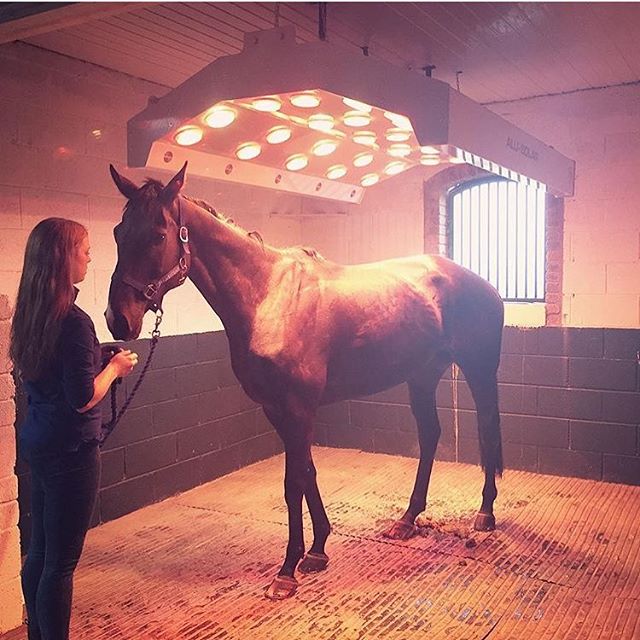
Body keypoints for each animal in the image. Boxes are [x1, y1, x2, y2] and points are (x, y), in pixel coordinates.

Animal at [106, 162, 504, 600]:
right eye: (118, 232)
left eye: (158, 235)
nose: (117, 319)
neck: (268, 298)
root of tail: (483, 284)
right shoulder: (278, 409)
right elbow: (307, 471)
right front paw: (317, 550)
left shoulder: (297, 408)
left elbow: (292, 480)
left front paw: (287, 570)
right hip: (421, 376)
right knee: (430, 435)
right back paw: (407, 519)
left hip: (479, 370)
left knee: (487, 428)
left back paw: (485, 513)